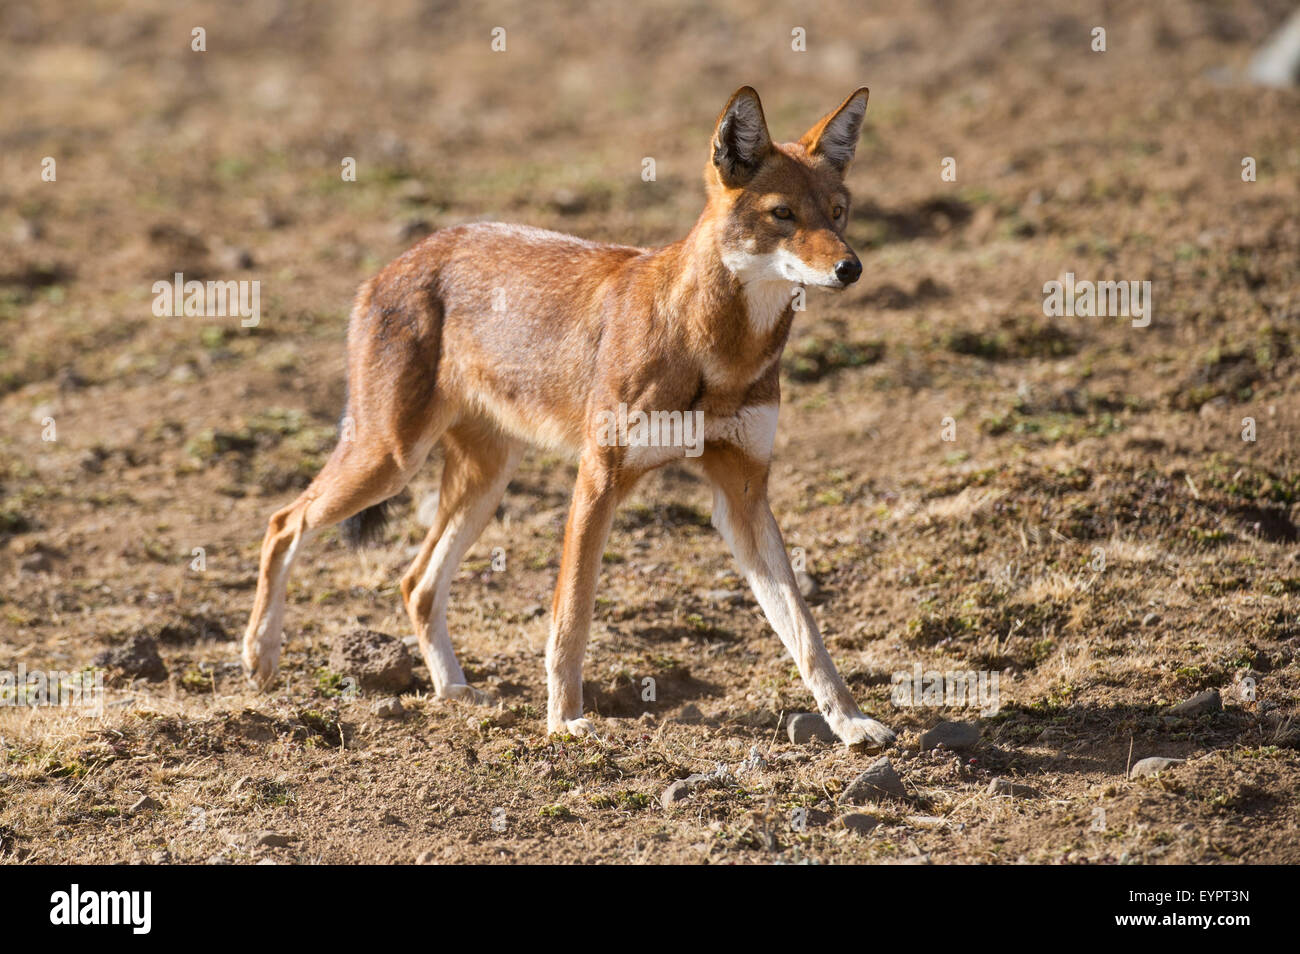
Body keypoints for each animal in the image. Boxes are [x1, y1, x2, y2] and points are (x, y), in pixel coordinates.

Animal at [241, 86, 896, 747]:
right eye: (783, 214)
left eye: (837, 213)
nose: (850, 268)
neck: (719, 352)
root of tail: (395, 262)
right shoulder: (597, 478)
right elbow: (572, 617)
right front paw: (564, 721)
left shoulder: (743, 495)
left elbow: (806, 632)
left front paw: (851, 721)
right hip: (390, 461)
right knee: (283, 522)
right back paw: (260, 659)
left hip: (484, 483)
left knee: (415, 583)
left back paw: (454, 691)